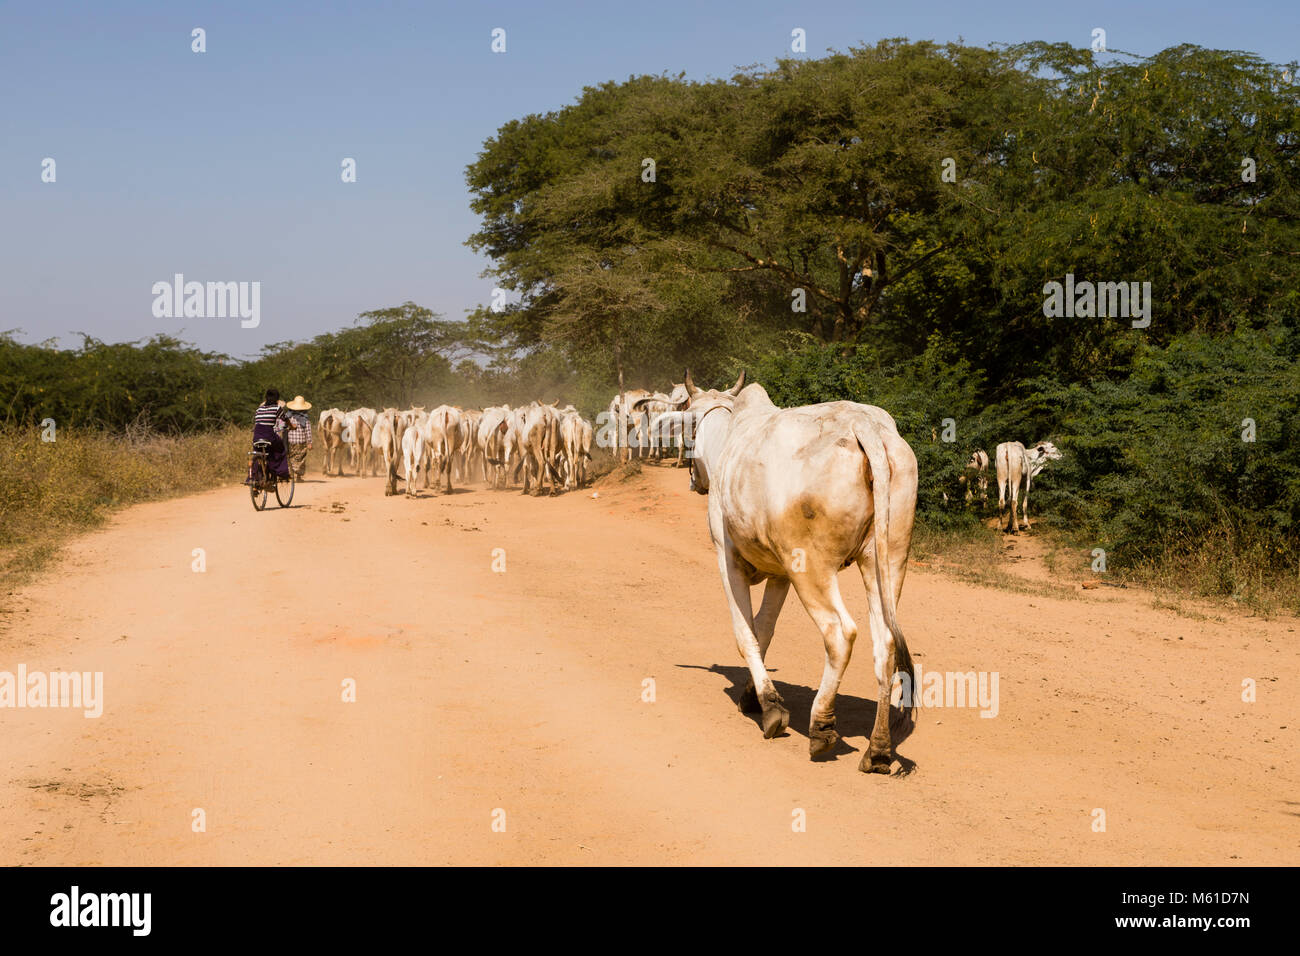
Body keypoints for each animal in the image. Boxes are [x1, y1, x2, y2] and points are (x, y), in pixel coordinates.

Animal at [685, 370, 919, 775]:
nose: (692, 478)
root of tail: (864, 425)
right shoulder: (780, 573)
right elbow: (763, 631)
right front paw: (754, 696)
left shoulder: (726, 557)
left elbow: (745, 634)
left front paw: (771, 709)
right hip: (887, 559)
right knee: (885, 642)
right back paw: (877, 749)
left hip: (812, 567)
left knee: (840, 634)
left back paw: (821, 728)